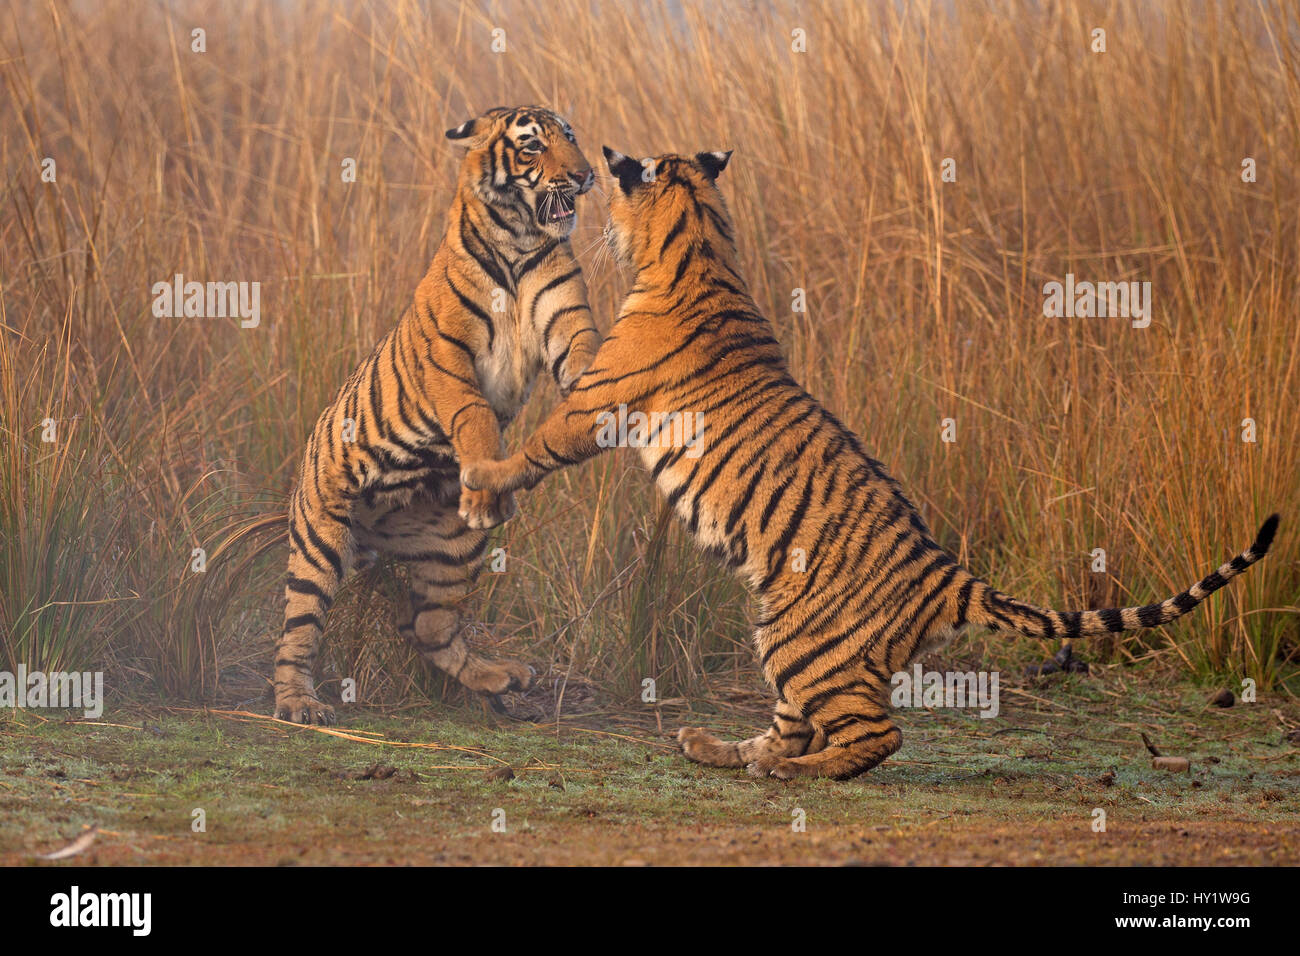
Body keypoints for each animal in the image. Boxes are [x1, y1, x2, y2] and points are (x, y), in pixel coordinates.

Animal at [273, 106, 600, 725]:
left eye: (572, 138)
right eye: (532, 147)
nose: (586, 175)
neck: (519, 241)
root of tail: (375, 531)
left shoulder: (568, 326)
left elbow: (593, 362)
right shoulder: (449, 359)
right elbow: (473, 417)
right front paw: (485, 480)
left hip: (455, 552)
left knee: (427, 628)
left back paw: (502, 679)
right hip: (319, 538)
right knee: (297, 631)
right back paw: (298, 703)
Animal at [460, 145, 1281, 780]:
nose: (589, 204)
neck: (701, 244)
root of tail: (951, 576)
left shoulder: (594, 401)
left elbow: (537, 445)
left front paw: (482, 479)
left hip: (806, 642)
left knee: (874, 734)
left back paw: (785, 770)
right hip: (783, 635)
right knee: (797, 724)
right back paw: (720, 749)